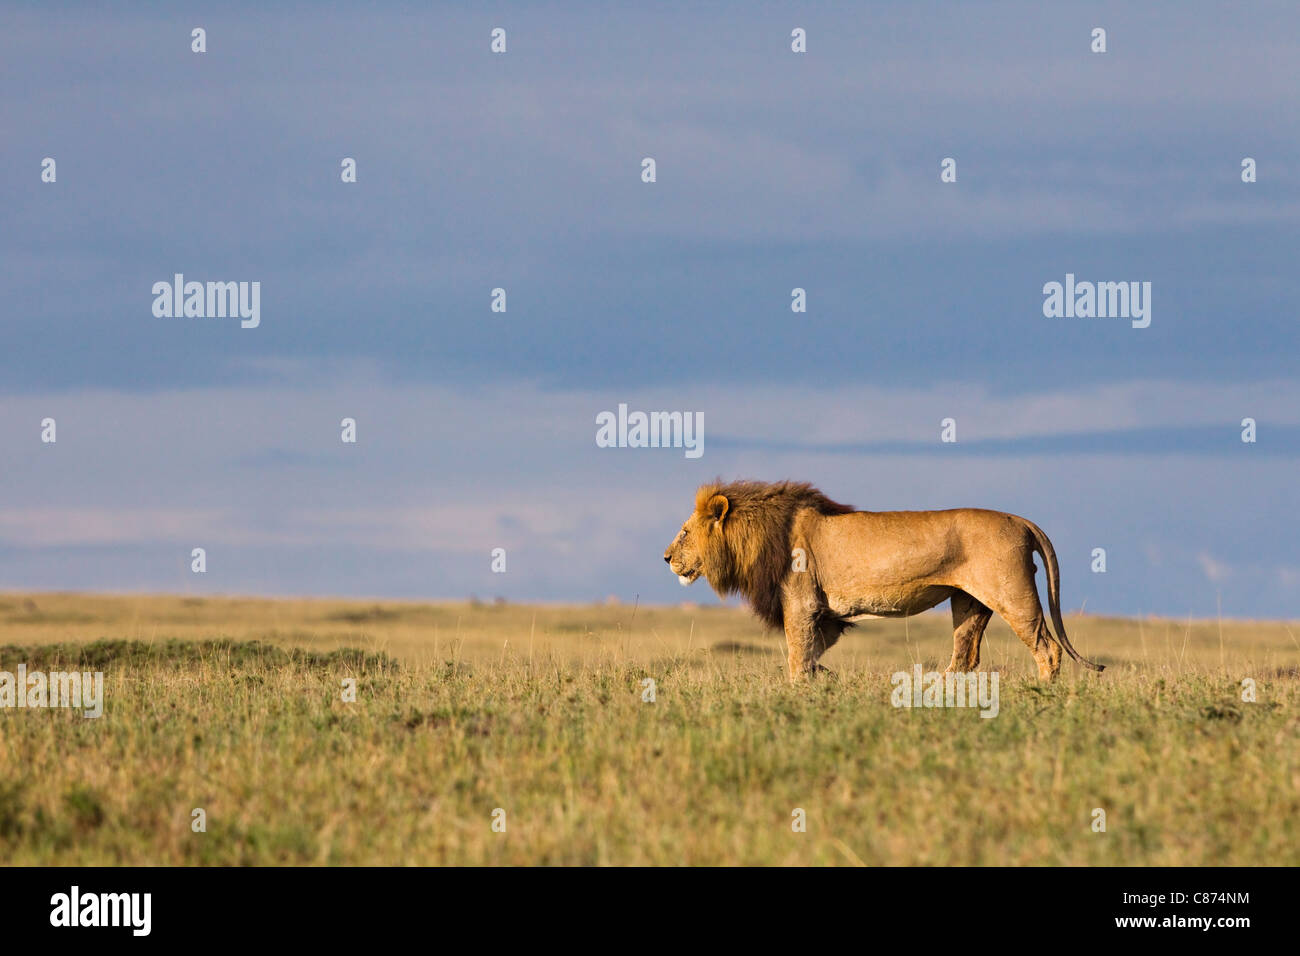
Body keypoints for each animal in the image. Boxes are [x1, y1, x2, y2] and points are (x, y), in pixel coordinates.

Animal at [663, 479, 1104, 681]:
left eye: (684, 532)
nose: (666, 557)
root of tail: (1021, 520)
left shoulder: (802, 604)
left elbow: (796, 657)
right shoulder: (824, 614)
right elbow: (811, 654)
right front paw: (824, 680)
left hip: (1012, 594)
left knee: (1047, 648)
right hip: (968, 601)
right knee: (965, 655)